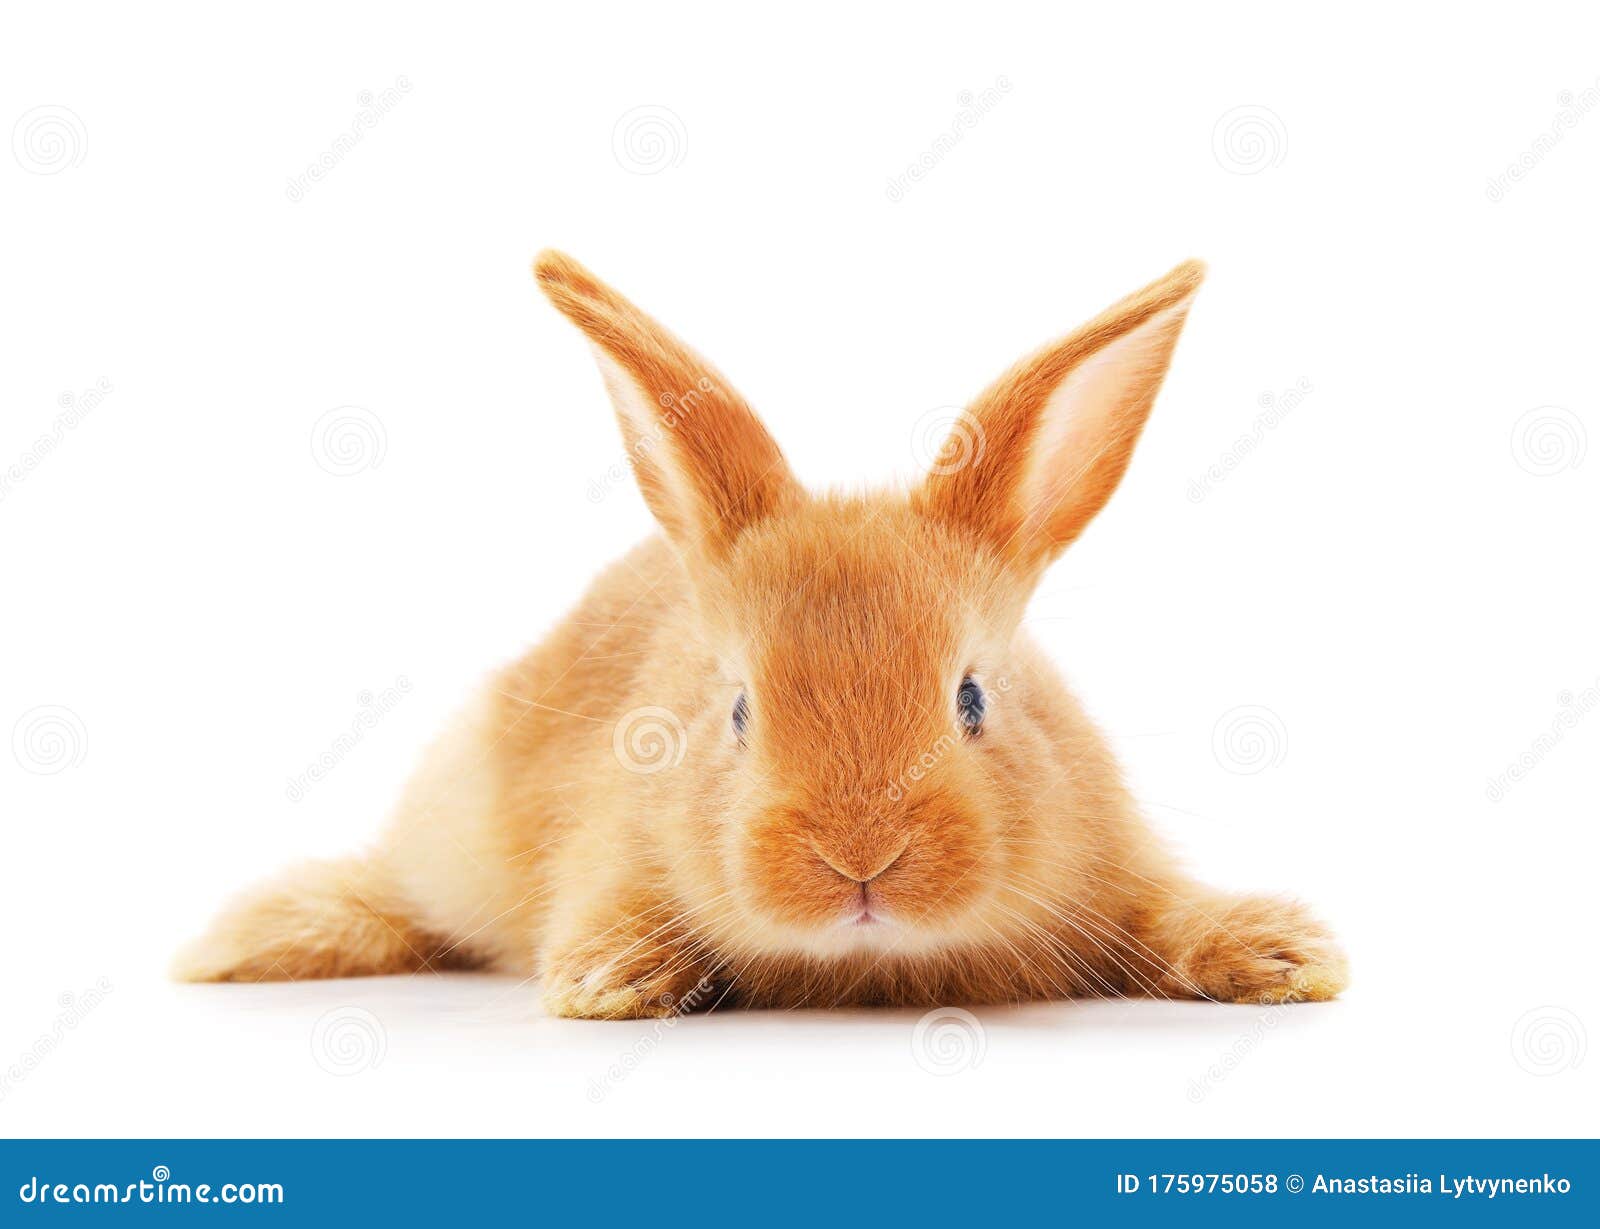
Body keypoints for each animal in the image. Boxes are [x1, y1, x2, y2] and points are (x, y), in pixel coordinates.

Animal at [174, 251, 1347, 1018]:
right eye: (737, 709)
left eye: (972, 697)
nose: (859, 857)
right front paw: (609, 981)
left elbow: (1174, 911)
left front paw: (1286, 956)